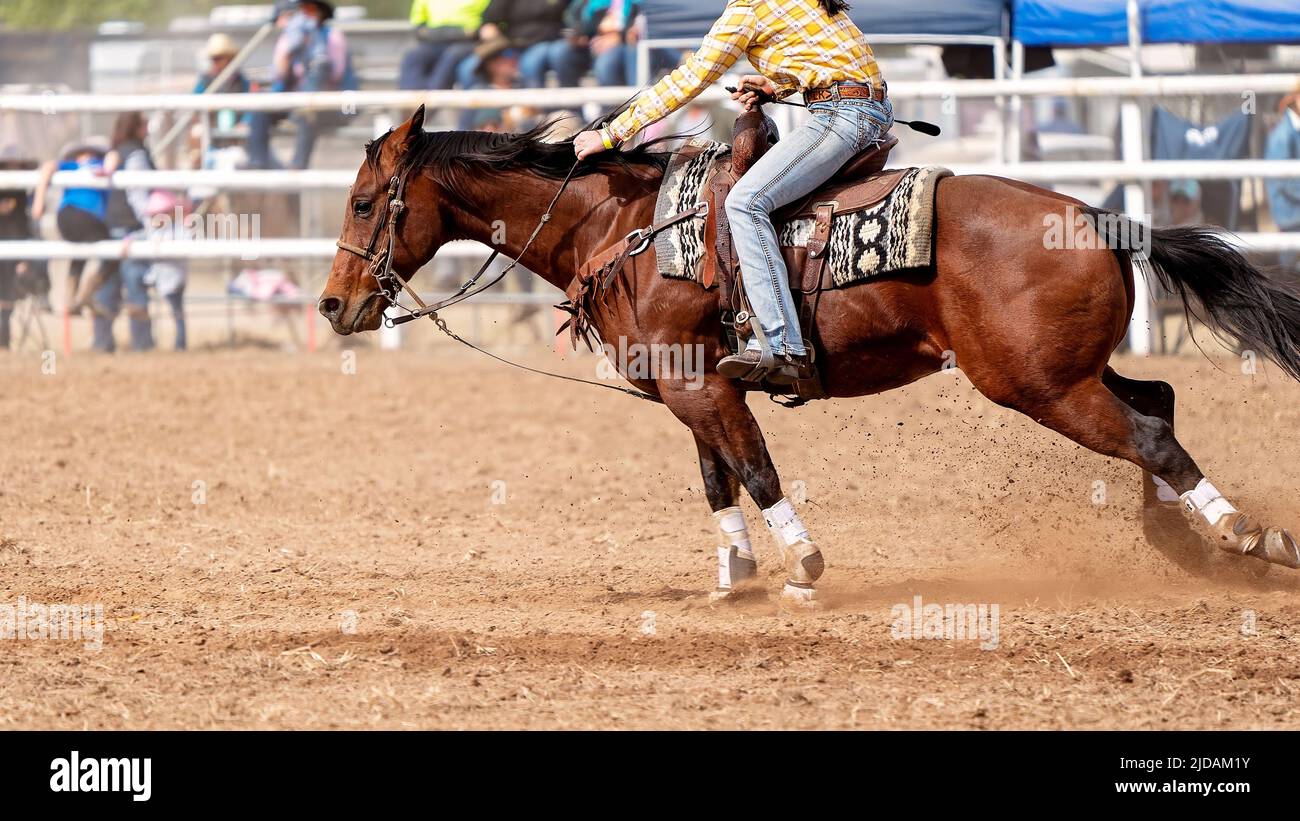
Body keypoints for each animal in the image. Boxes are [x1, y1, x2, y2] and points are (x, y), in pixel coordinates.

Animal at [320, 105, 1300, 607]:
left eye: (367, 202)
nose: (334, 305)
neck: (621, 228)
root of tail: (1100, 215)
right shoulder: (692, 391)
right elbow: (716, 480)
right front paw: (735, 577)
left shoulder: (706, 388)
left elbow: (755, 470)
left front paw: (803, 566)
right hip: (1063, 373)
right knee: (1158, 401)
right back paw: (1185, 544)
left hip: (1037, 384)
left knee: (1150, 434)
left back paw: (1247, 535)